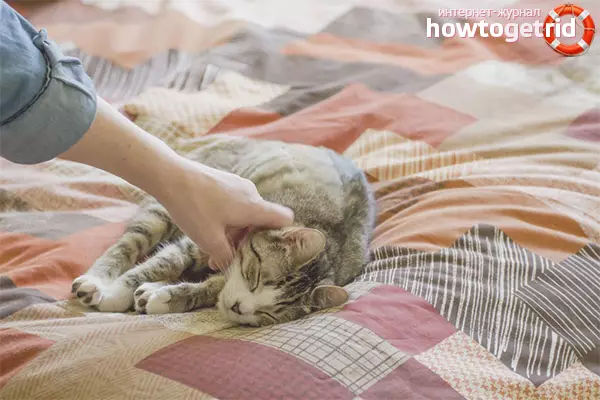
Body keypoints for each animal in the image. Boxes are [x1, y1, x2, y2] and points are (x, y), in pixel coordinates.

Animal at [72, 134, 376, 324]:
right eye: (254, 277)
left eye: (269, 314)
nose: (238, 308)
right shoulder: (205, 236)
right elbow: (160, 263)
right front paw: (117, 293)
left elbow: (213, 286)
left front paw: (168, 297)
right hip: (174, 203)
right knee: (129, 243)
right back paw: (96, 281)